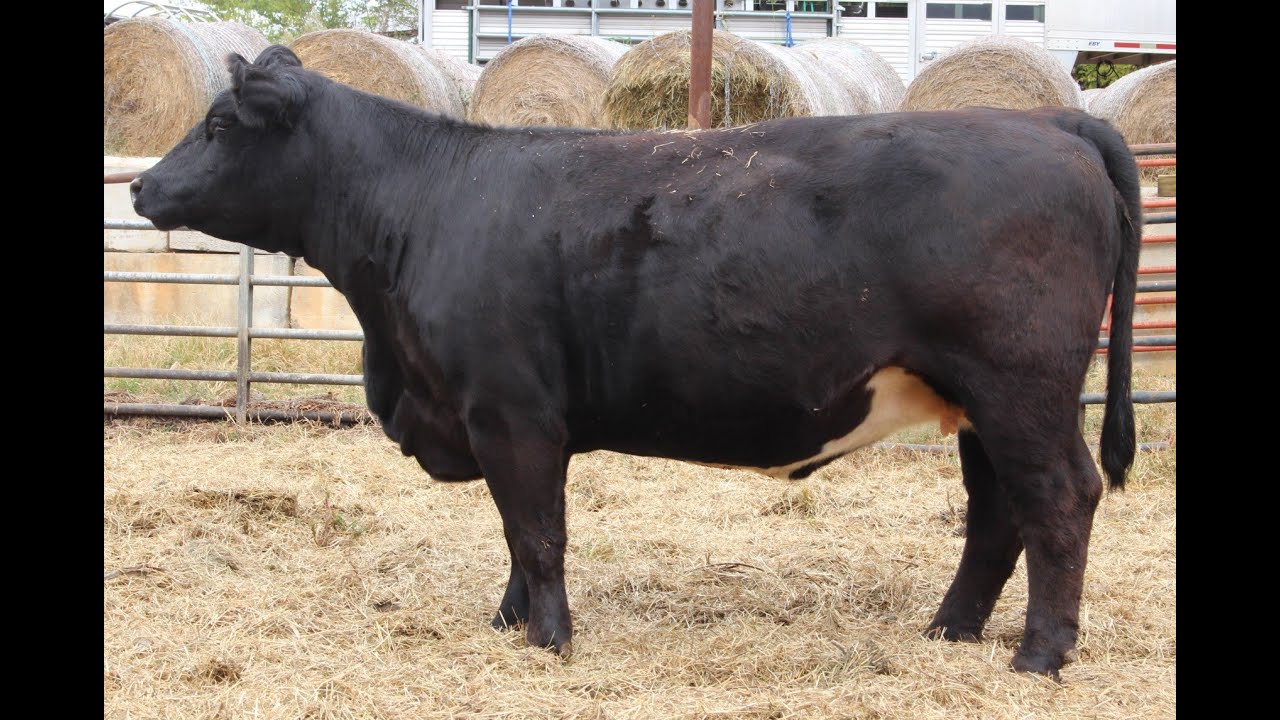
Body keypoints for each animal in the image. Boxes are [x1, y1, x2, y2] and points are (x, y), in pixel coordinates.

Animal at [130, 45, 1140, 679]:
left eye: (218, 126)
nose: (139, 184)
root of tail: (1051, 121)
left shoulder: (509, 411)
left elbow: (538, 530)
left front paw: (548, 640)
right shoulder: (504, 422)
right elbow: (515, 532)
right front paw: (507, 623)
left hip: (1021, 387)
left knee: (1059, 499)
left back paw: (1040, 654)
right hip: (975, 400)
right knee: (996, 515)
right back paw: (948, 631)